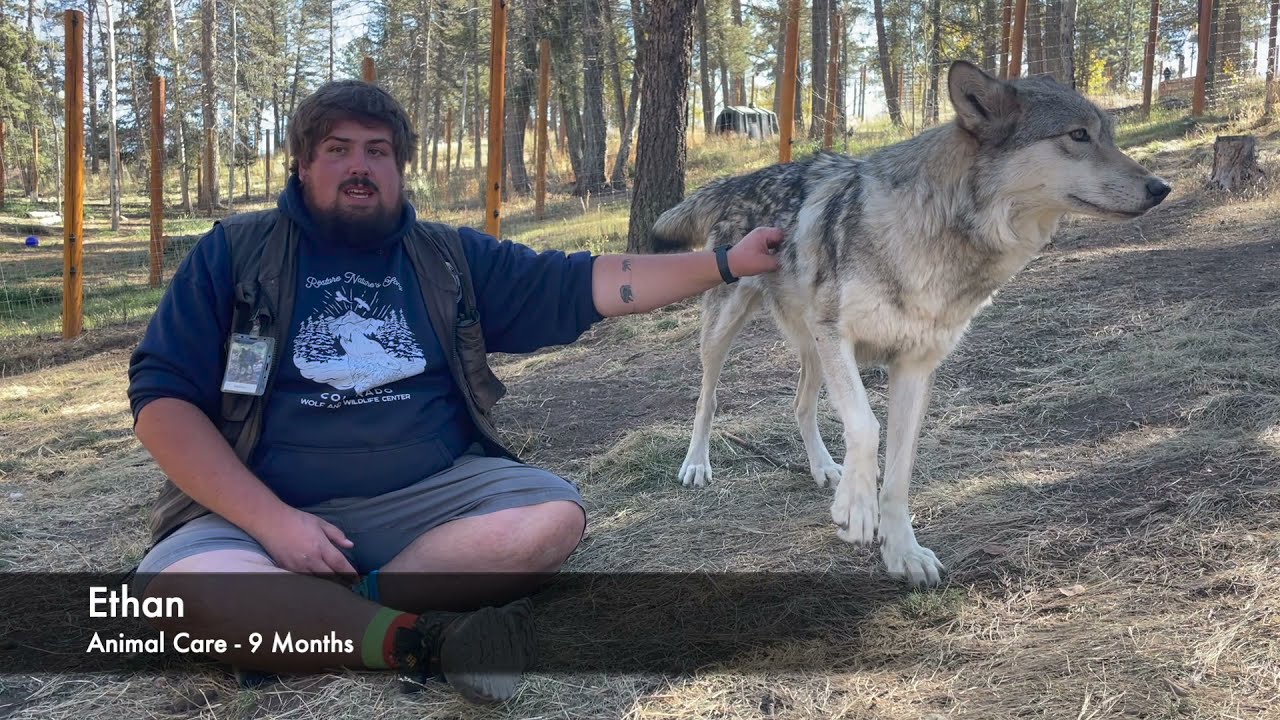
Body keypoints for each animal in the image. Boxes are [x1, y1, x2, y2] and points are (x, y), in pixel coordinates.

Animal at [650, 61, 1171, 587]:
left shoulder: (915, 366)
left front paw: (902, 551)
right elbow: (865, 424)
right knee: (708, 400)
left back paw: (825, 468)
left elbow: (899, 474)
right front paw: (857, 509)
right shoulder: (837, 334)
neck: (935, 239)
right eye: (1078, 135)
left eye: (1109, 136)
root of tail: (742, 178)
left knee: (800, 405)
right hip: (730, 332)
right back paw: (697, 465)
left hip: (811, 346)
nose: (1160, 188)